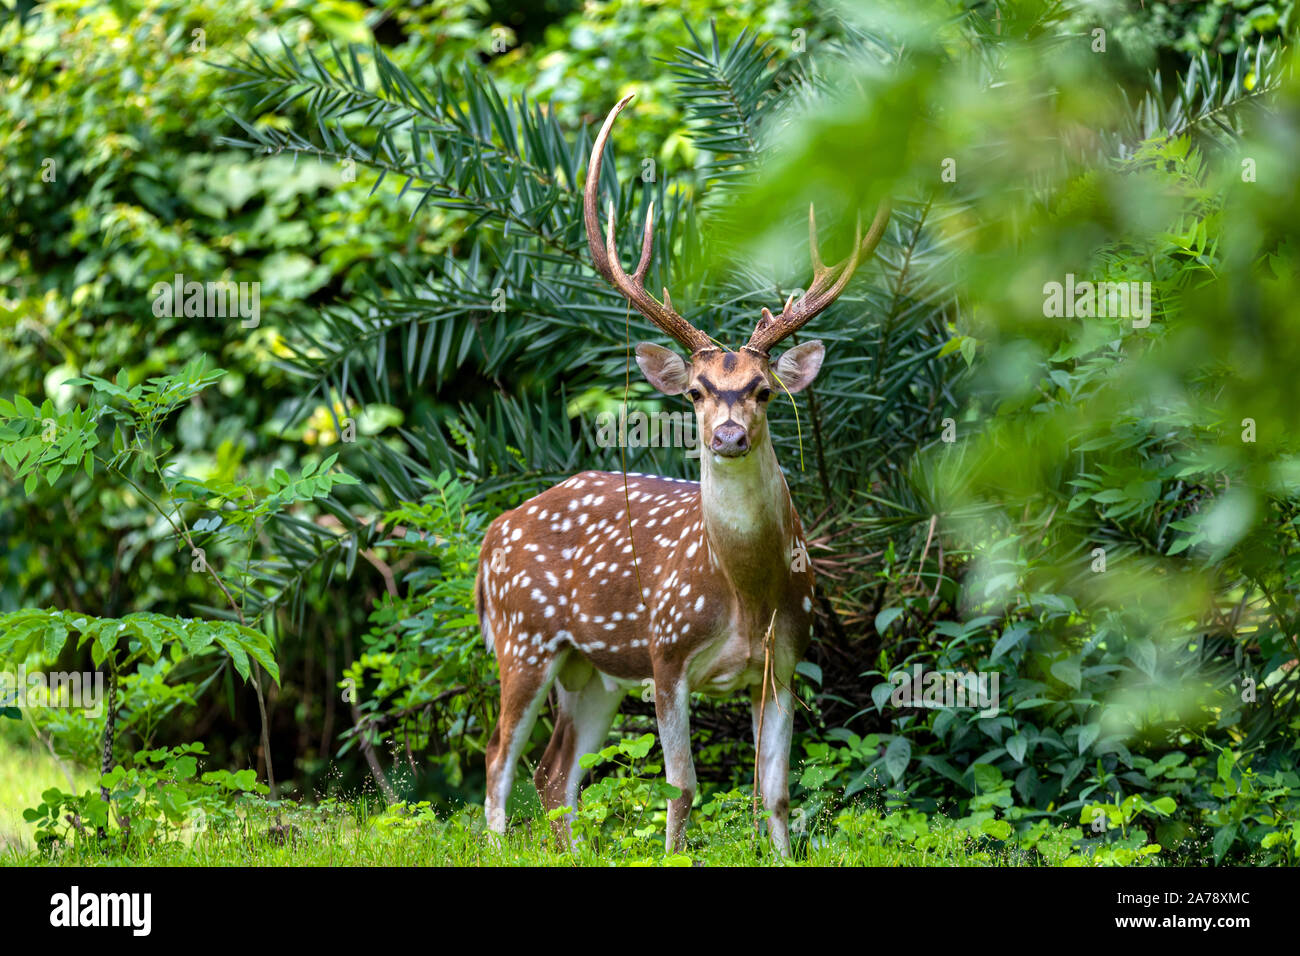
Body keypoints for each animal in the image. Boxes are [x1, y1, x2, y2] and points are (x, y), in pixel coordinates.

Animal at [475, 94, 889, 856]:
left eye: (762, 390)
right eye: (696, 392)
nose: (727, 435)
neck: (745, 591)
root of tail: (494, 533)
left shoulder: (785, 661)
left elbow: (775, 793)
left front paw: (779, 857)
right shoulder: (666, 655)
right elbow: (683, 788)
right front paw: (673, 858)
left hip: (592, 669)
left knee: (553, 771)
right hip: (525, 635)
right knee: (498, 758)